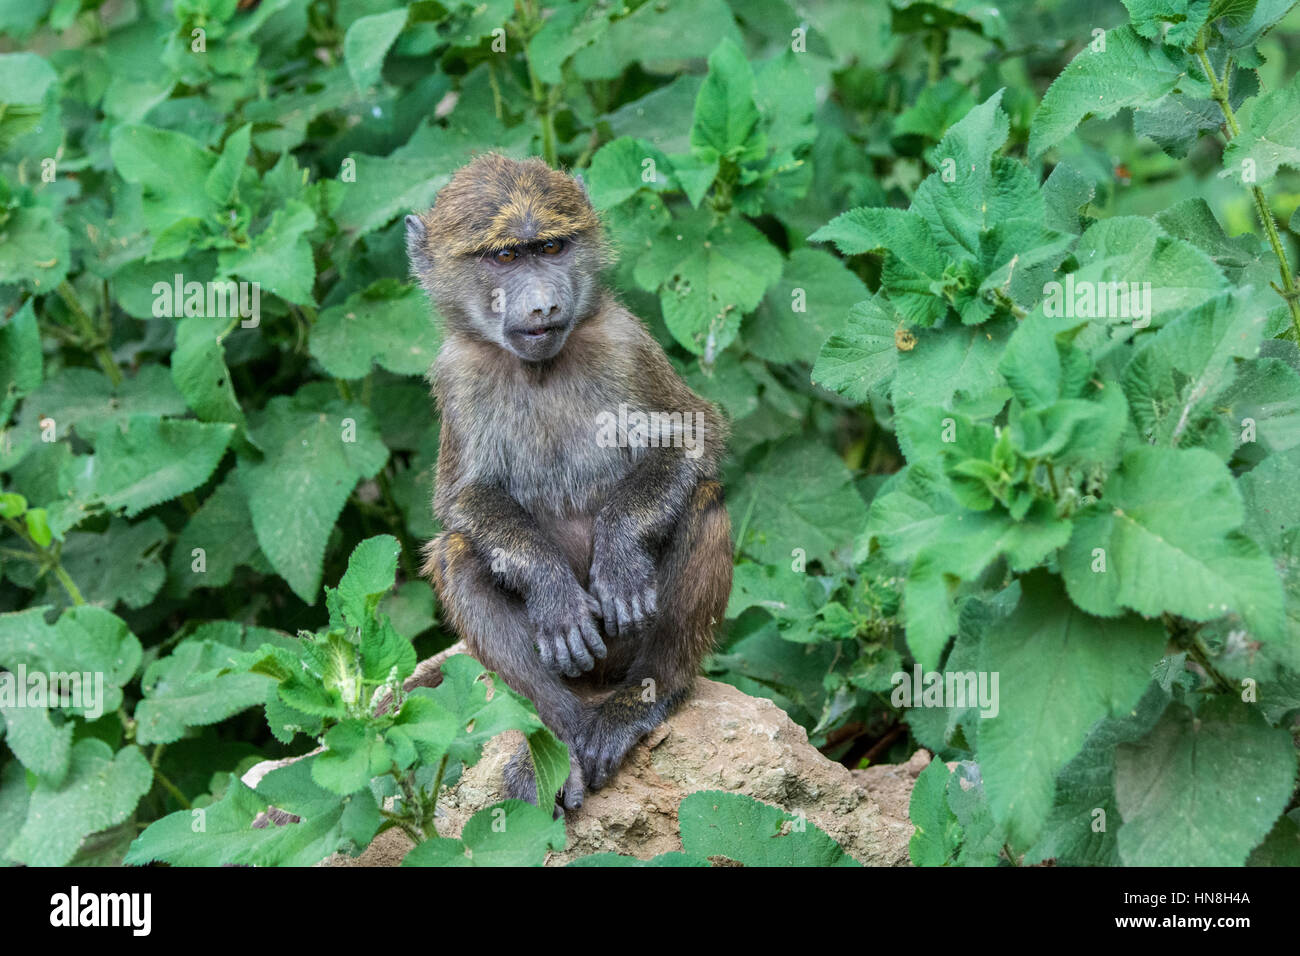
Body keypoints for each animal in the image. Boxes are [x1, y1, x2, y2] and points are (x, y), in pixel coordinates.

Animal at [405, 153, 732, 813]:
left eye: (551, 247)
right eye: (505, 256)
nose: (541, 308)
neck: (541, 369)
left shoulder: (626, 343)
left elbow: (693, 437)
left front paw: (621, 555)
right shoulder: (457, 375)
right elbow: (460, 501)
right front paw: (553, 592)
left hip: (624, 655)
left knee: (704, 502)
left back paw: (639, 704)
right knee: (458, 553)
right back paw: (560, 738)